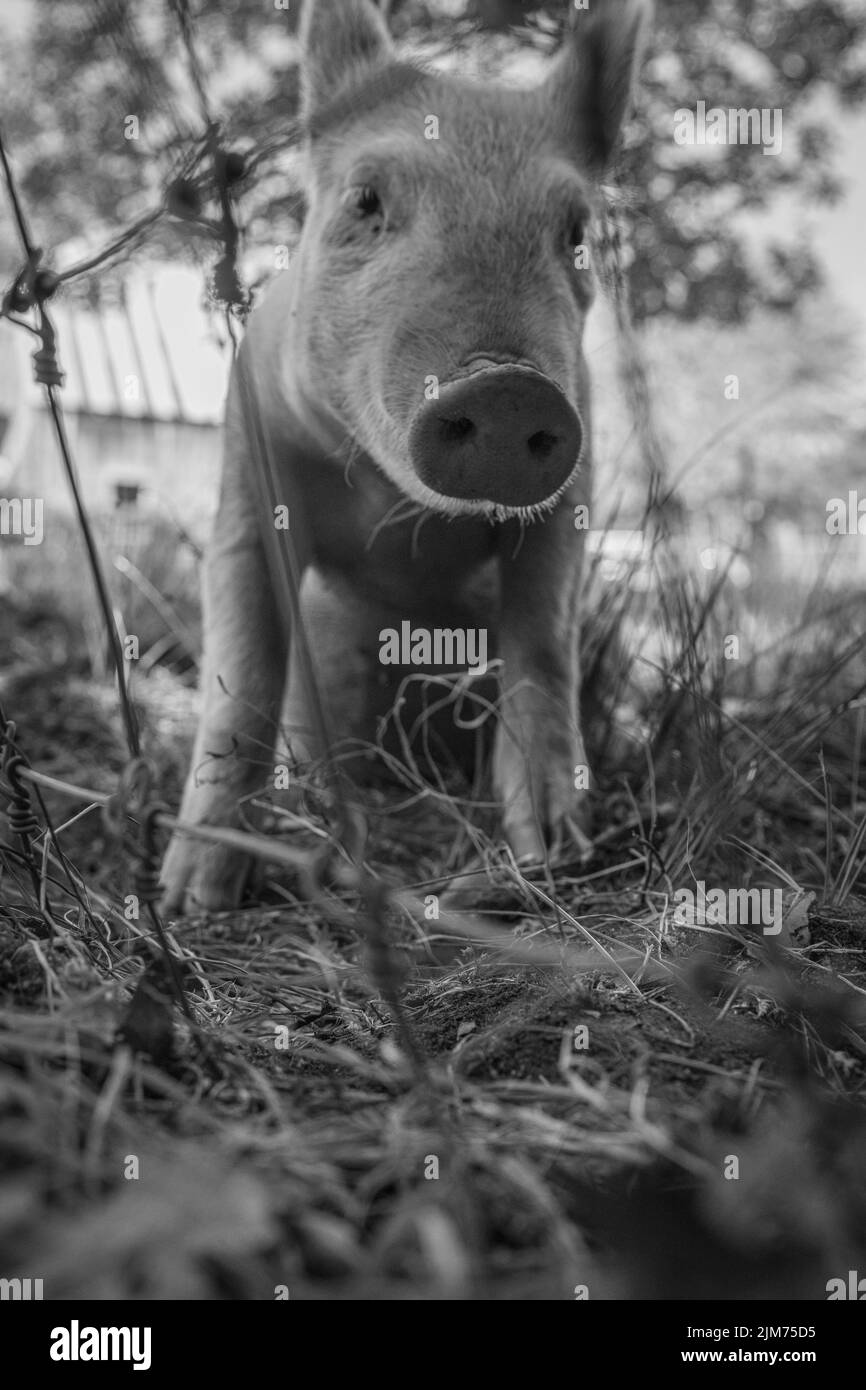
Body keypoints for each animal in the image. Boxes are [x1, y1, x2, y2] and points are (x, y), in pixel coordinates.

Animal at [160, 0, 650, 913]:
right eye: (366, 197)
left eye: (575, 232)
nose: (507, 387)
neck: (396, 506)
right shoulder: (247, 468)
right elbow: (244, 672)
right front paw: (194, 901)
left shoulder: (575, 491)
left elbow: (541, 646)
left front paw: (557, 854)